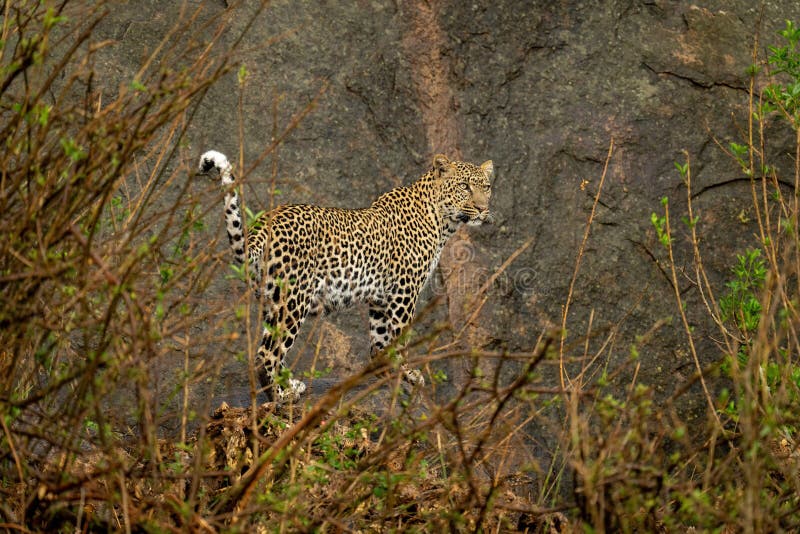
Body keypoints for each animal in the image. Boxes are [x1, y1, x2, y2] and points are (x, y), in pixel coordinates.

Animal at [197, 151, 493, 402]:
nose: (482, 209)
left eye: (486, 187)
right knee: (266, 355)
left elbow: (379, 338)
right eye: (464, 186)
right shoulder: (404, 291)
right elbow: (400, 335)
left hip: (274, 300)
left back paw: (291, 386)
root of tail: (266, 221)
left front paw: (384, 370)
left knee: (272, 349)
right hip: (294, 299)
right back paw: (281, 397)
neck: (442, 221)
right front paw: (407, 372)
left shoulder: (380, 297)